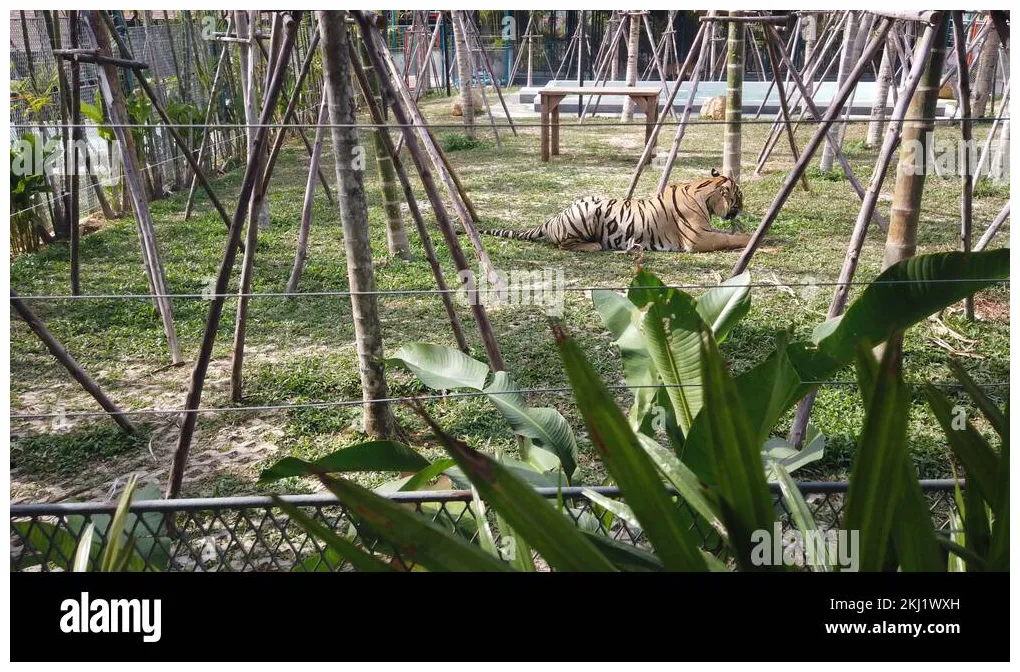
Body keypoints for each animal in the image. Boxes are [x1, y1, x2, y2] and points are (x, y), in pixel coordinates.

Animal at [479, 170, 751, 253]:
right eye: (739, 197)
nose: (742, 210)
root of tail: (553, 218)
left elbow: (730, 234)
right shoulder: (698, 238)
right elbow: (729, 239)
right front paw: (753, 238)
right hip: (589, 212)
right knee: (563, 244)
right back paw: (594, 245)